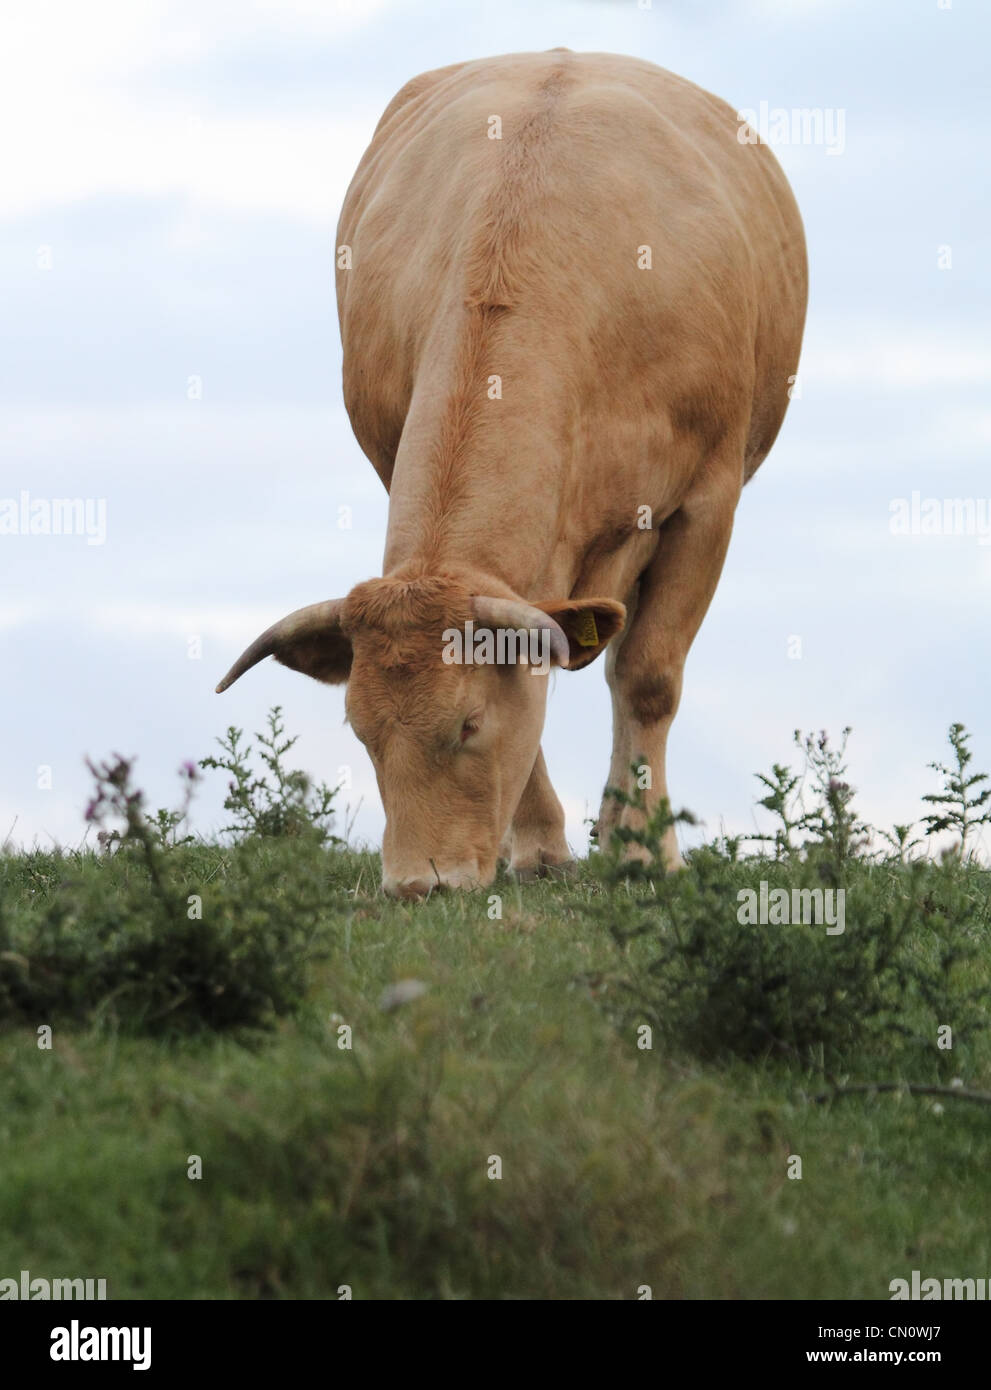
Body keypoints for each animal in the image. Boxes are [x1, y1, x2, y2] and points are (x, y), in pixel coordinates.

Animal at [217, 50, 807, 897]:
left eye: (467, 723)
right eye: (359, 730)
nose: (418, 883)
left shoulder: (706, 505)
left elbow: (647, 676)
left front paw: (644, 851)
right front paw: (541, 846)